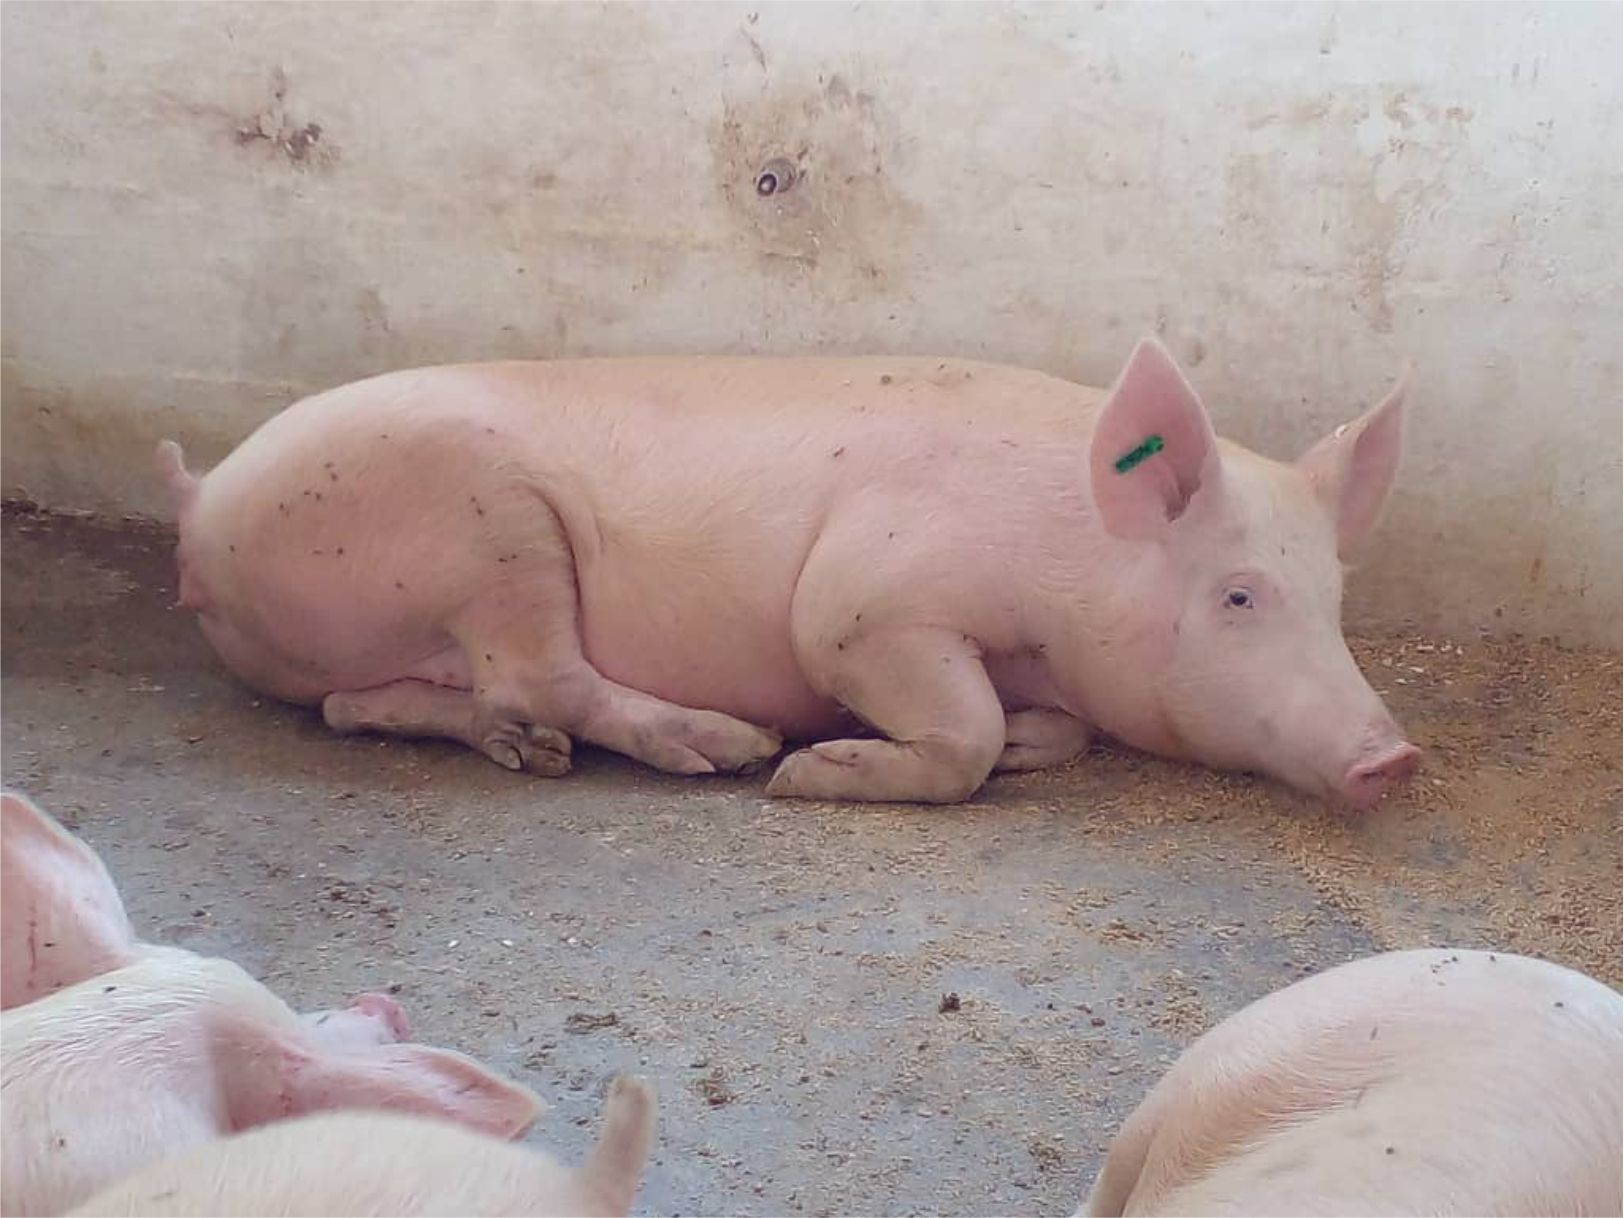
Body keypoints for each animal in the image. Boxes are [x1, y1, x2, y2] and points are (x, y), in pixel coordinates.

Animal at [159, 338, 1419, 806]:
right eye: (1240, 595)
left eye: (1337, 603)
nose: (1394, 756)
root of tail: (200, 504)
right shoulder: (865, 598)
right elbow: (949, 727)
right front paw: (815, 770)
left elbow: (1040, 731)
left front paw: (1025, 741)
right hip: (487, 520)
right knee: (536, 674)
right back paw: (728, 750)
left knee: (364, 705)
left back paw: (535, 755)